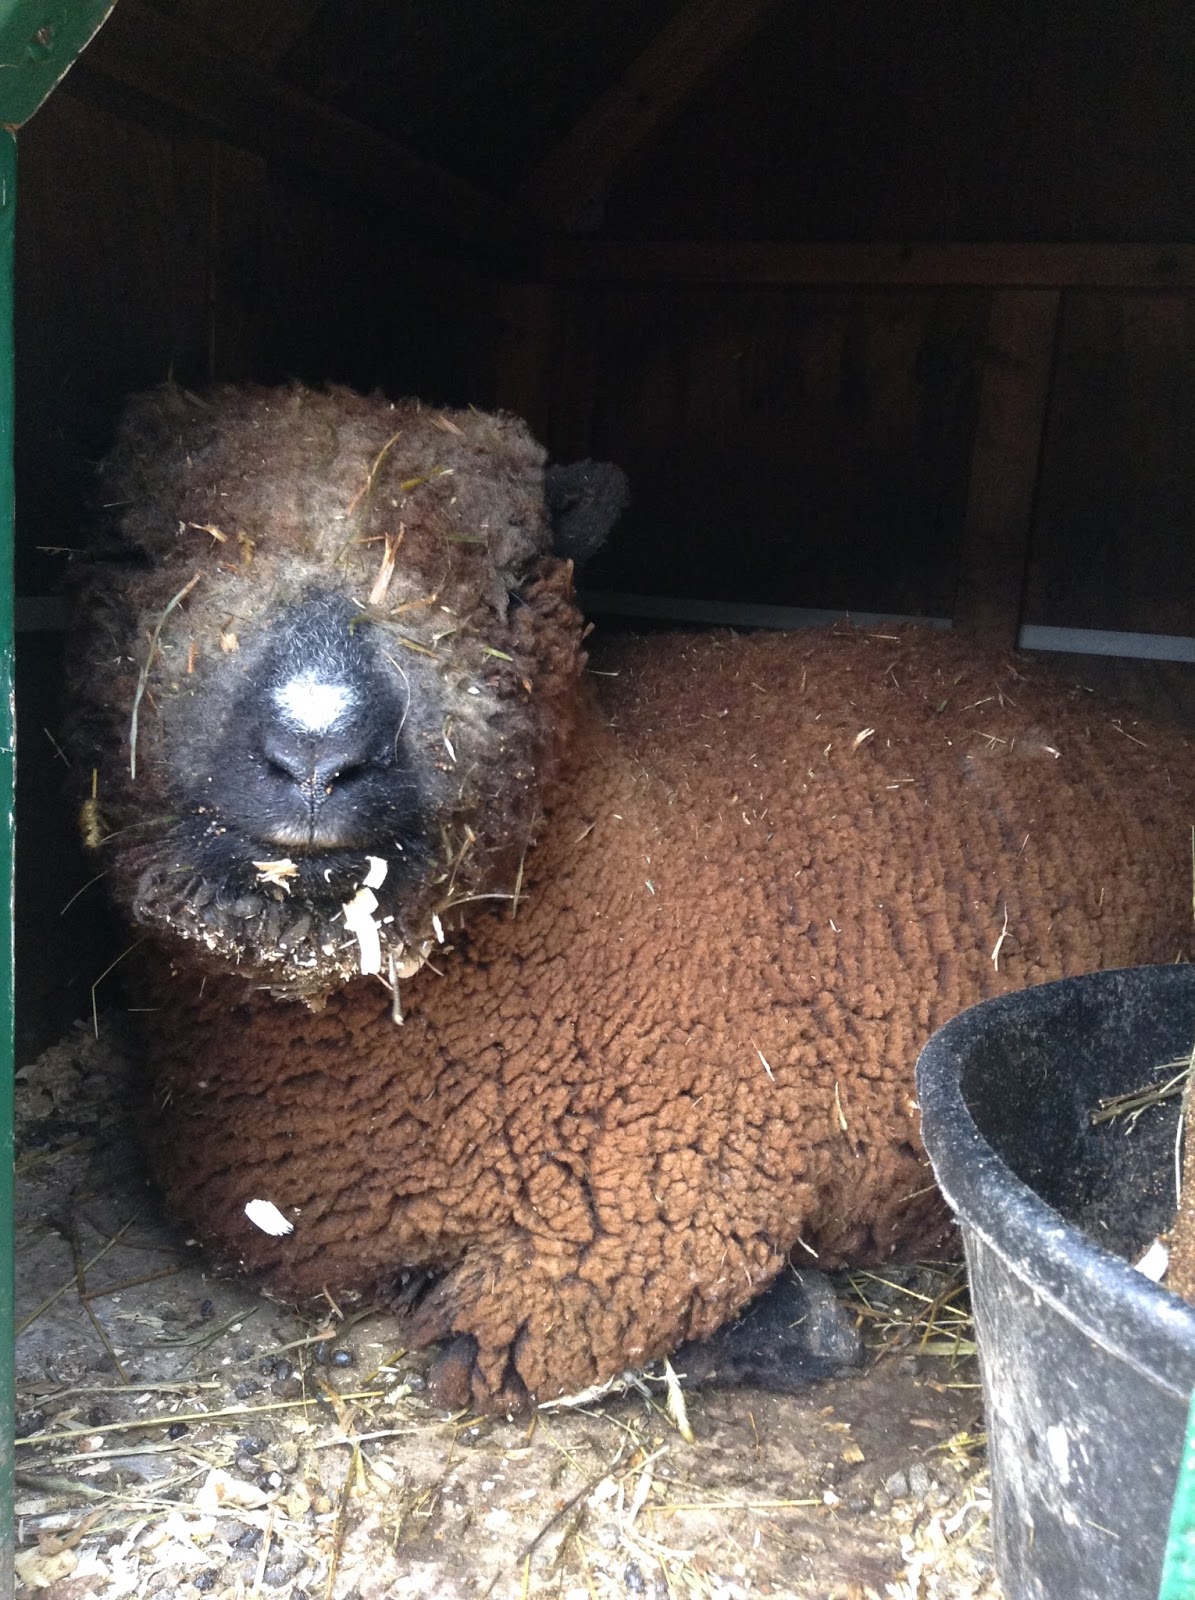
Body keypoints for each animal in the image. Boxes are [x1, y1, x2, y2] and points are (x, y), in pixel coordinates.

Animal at [67, 381, 1195, 1413]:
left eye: (512, 581)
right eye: (143, 561)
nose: (315, 751)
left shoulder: (651, 1222)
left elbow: (498, 1354)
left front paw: (797, 1324)